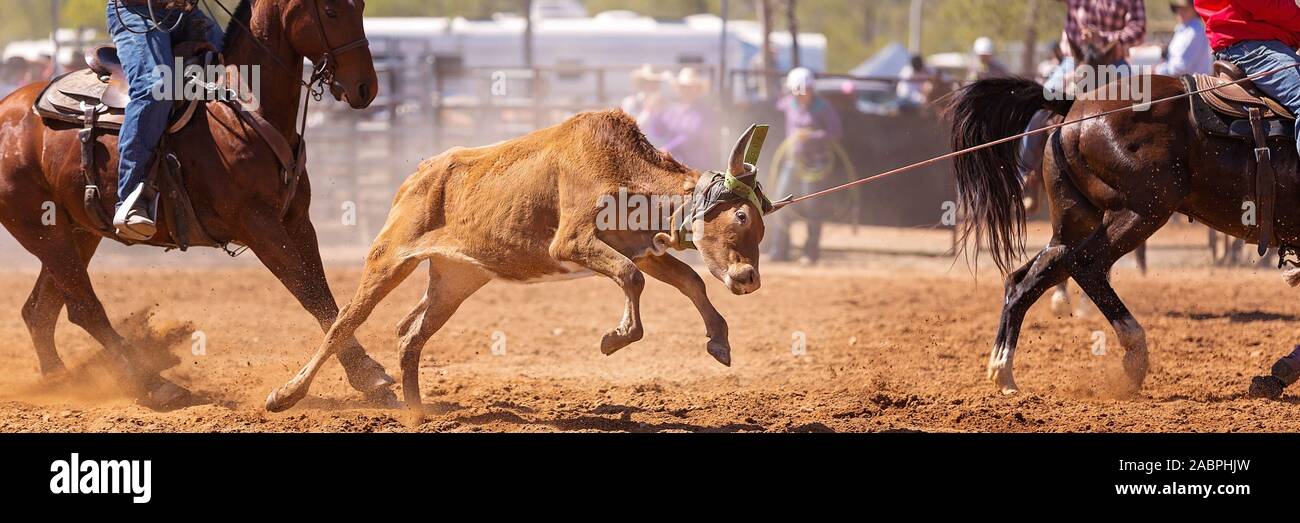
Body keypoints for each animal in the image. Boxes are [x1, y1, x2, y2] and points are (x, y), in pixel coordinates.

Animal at [264, 110, 785, 415]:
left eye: (762, 227)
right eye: (741, 216)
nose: (749, 278)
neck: (621, 167)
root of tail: (420, 174)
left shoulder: (643, 247)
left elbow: (690, 281)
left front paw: (719, 341)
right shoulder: (572, 242)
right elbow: (630, 277)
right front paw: (617, 336)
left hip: (457, 278)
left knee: (411, 334)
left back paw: (418, 413)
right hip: (389, 257)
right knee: (343, 324)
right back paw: (286, 395)